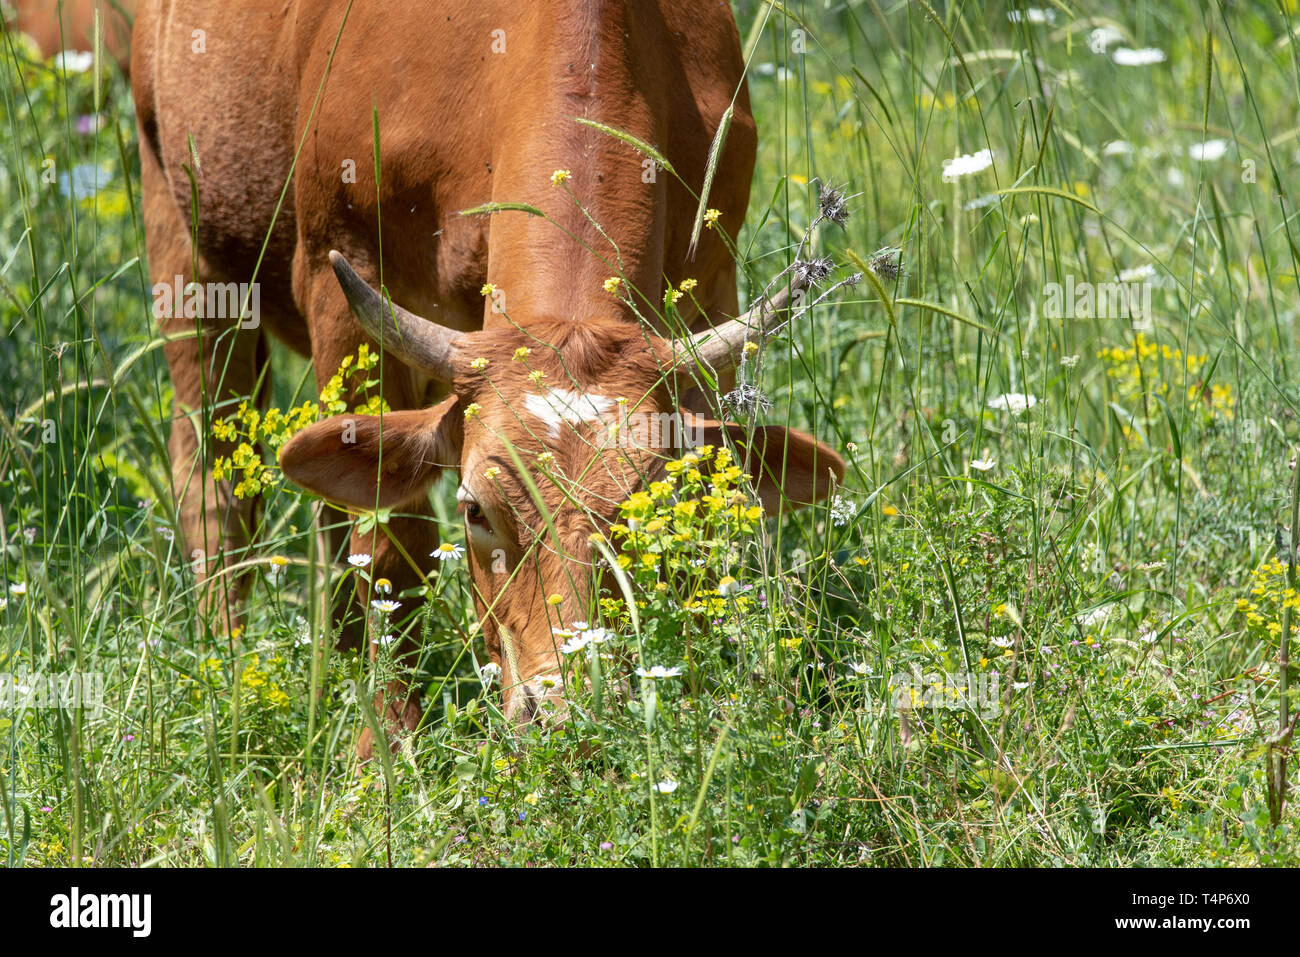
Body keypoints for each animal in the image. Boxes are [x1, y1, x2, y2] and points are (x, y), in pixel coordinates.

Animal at [133, 0, 845, 757]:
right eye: (475, 510)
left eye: (646, 509)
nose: (565, 714)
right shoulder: (340, 282)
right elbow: (388, 548)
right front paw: (385, 744)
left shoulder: (711, 291)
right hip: (184, 240)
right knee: (216, 483)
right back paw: (227, 666)